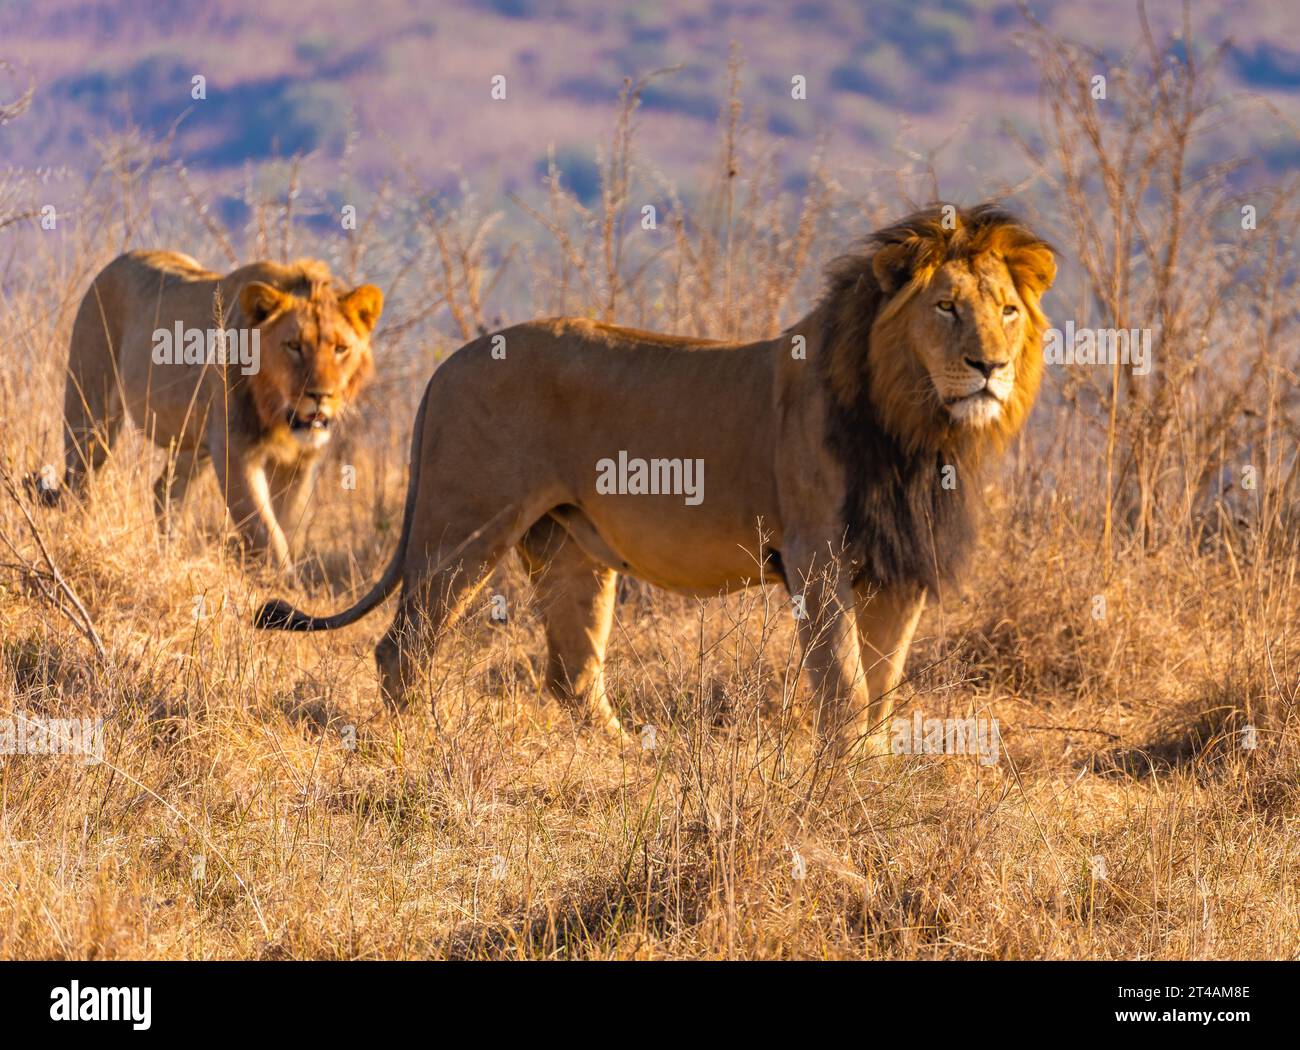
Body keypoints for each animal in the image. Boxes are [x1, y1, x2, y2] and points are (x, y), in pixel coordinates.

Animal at [55, 251, 383, 571]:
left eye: (340, 348)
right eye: (293, 345)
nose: (320, 395)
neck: (275, 412)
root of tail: (114, 262)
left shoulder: (299, 464)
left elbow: (288, 530)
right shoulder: (234, 452)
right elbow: (267, 534)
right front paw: (280, 582)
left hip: (195, 441)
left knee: (165, 492)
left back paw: (168, 558)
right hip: (91, 411)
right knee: (80, 481)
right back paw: (76, 534)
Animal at [256, 203, 1055, 756]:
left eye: (1008, 310)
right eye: (946, 307)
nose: (989, 367)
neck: (918, 433)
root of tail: (448, 363)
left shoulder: (900, 565)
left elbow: (884, 686)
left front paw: (872, 768)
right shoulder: (815, 553)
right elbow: (846, 681)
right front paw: (842, 777)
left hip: (571, 549)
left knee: (572, 675)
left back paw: (637, 757)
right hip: (464, 528)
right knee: (404, 647)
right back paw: (420, 745)